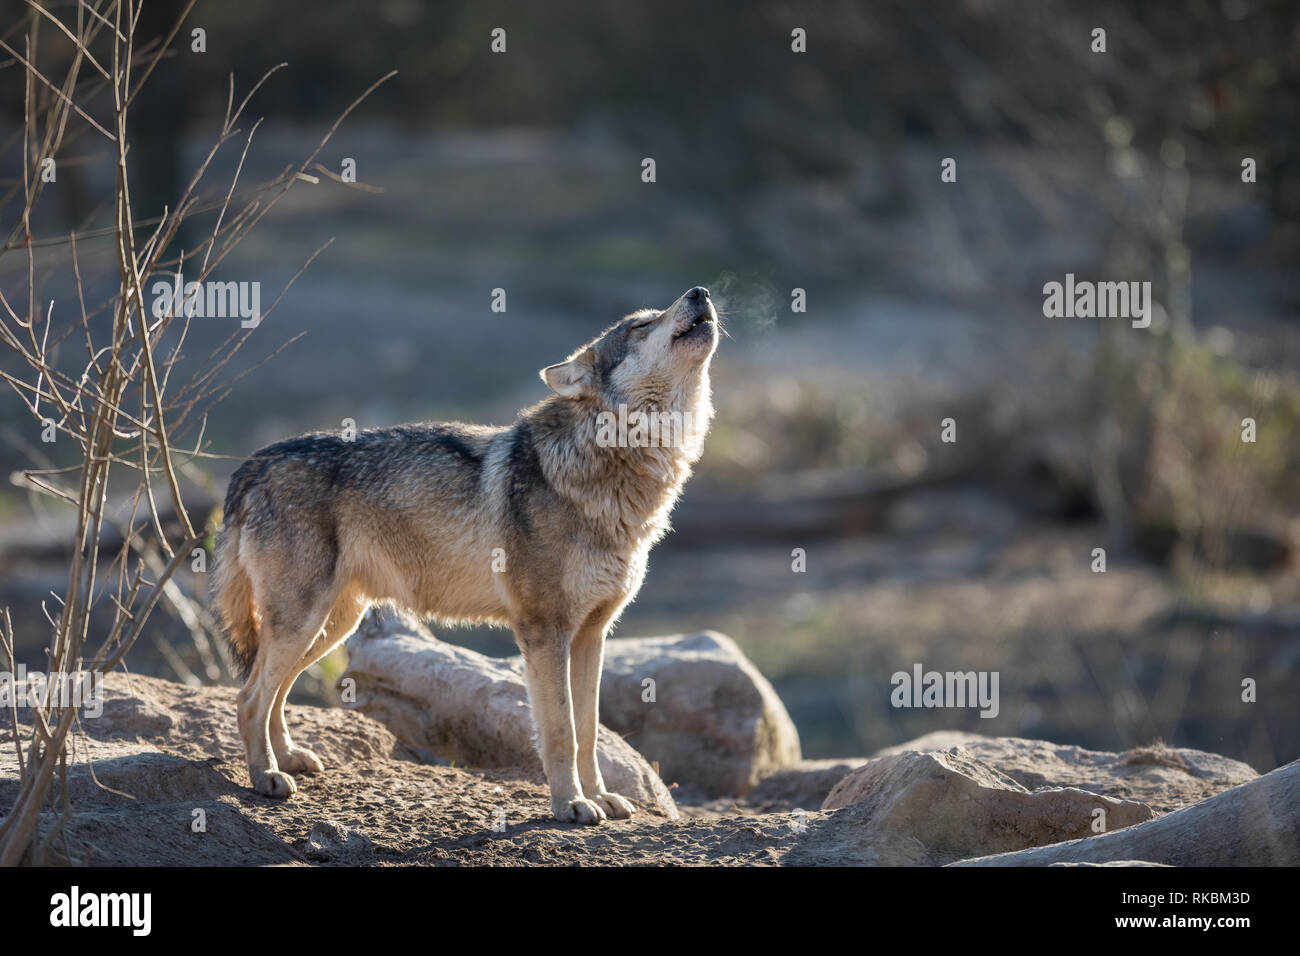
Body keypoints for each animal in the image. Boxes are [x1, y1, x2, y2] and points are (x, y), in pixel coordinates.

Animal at [213, 287, 718, 824]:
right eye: (641, 325)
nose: (700, 292)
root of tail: (252, 463)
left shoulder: (592, 634)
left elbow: (587, 732)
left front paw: (599, 797)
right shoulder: (544, 632)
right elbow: (561, 731)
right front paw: (571, 805)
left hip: (330, 626)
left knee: (274, 694)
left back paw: (287, 759)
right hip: (304, 623)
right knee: (249, 698)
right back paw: (265, 778)